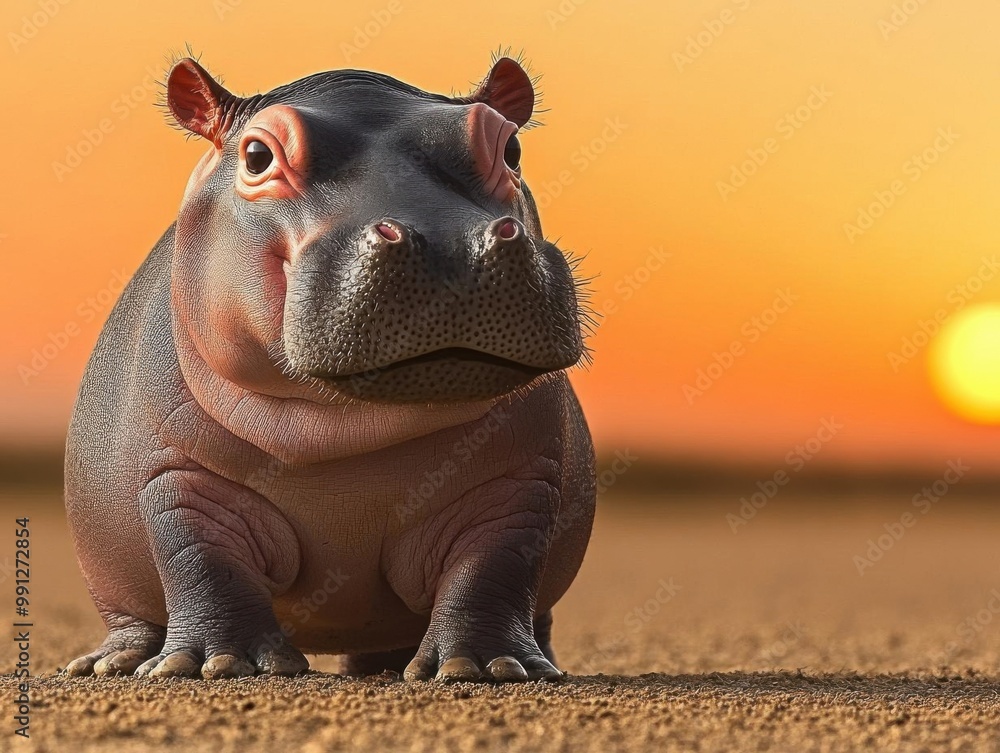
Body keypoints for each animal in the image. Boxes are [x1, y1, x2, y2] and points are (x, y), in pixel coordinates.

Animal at [63, 55, 596, 683]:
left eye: (510, 147)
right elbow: (201, 561)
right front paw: (220, 663)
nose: (454, 248)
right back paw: (113, 662)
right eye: (256, 155)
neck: (347, 432)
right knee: (139, 615)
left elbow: (493, 568)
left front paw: (483, 665)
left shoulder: (519, 481)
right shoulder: (180, 479)